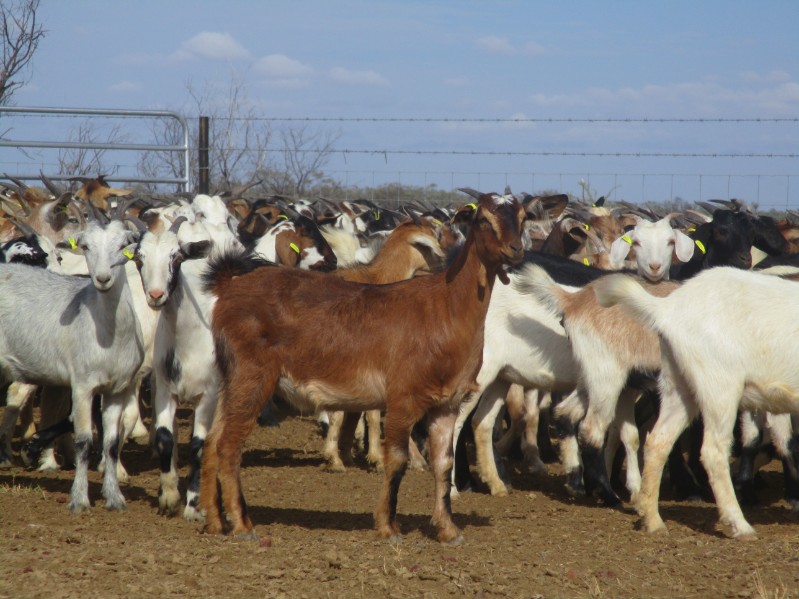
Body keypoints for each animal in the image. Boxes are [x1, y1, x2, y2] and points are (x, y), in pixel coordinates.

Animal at [199, 192, 527, 543]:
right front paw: (388, 526)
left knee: (212, 440)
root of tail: (229, 287)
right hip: (253, 376)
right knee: (228, 445)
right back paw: (242, 524)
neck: (446, 306)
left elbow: (443, 462)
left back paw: (214, 521)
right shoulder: (402, 397)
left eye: (521, 217)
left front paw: (448, 530)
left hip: (231, 378)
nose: (515, 249)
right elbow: (395, 459)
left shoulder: (447, 403)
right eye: (483, 220)